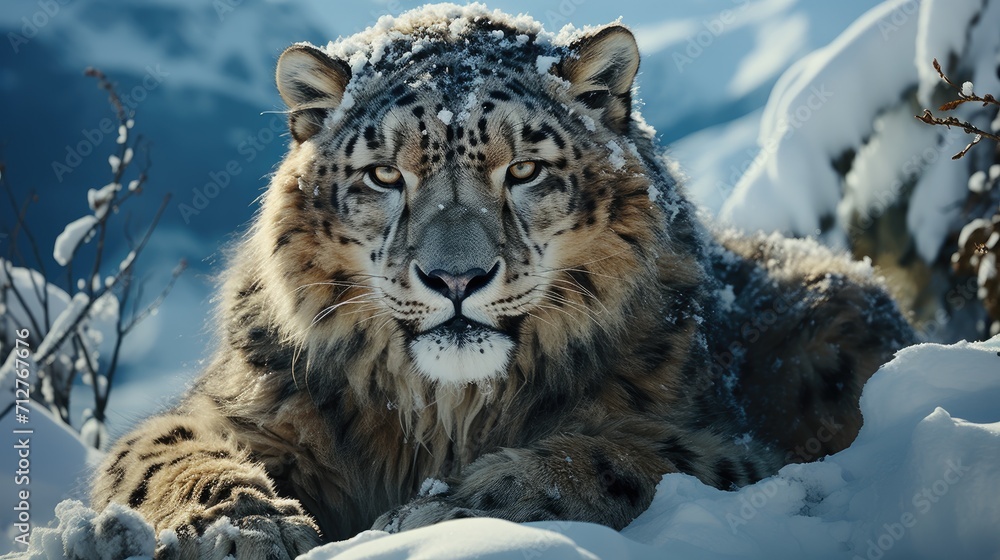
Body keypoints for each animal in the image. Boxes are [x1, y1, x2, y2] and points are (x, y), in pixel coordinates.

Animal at [90, 4, 915, 558]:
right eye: (384, 174)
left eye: (523, 169)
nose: (456, 276)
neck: (444, 415)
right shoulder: (241, 405)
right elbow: (164, 447)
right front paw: (243, 525)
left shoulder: (737, 448)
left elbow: (629, 457)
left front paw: (462, 502)